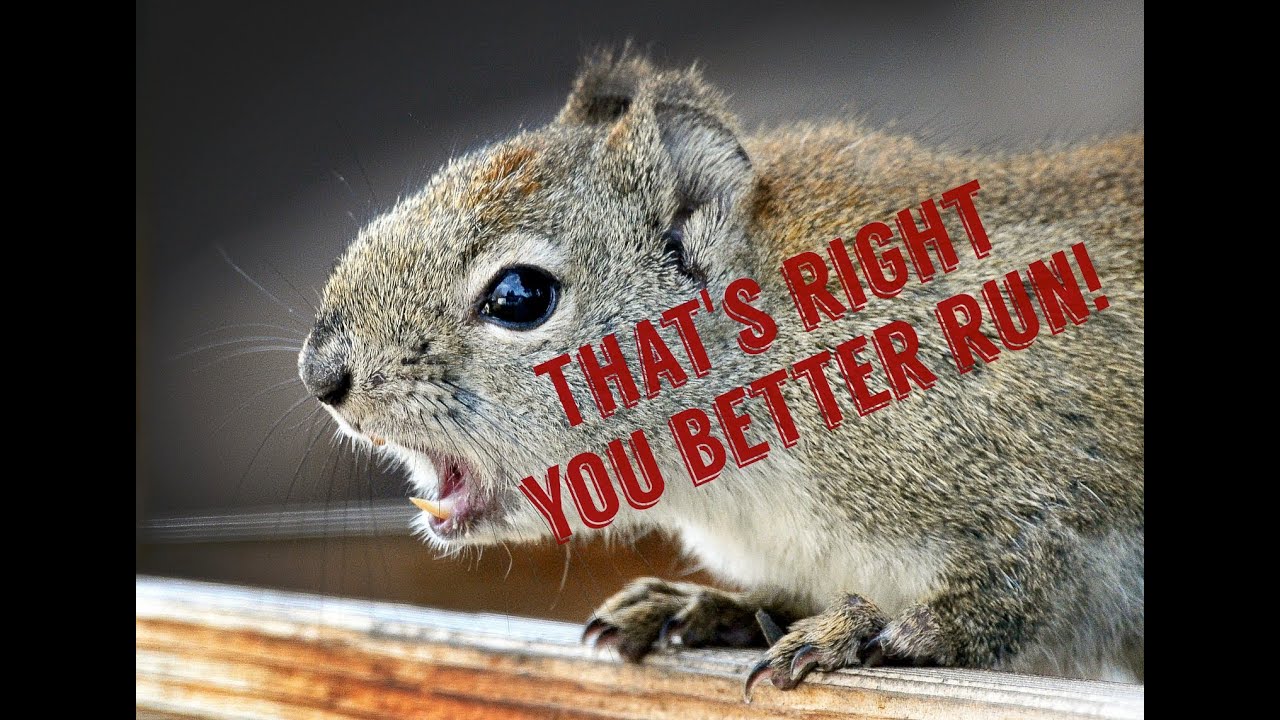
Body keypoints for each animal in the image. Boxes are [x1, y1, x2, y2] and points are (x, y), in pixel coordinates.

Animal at [298, 49, 1144, 692]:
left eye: (519, 297)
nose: (321, 373)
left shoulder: (1028, 464)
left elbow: (1027, 582)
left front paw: (874, 633)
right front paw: (705, 607)